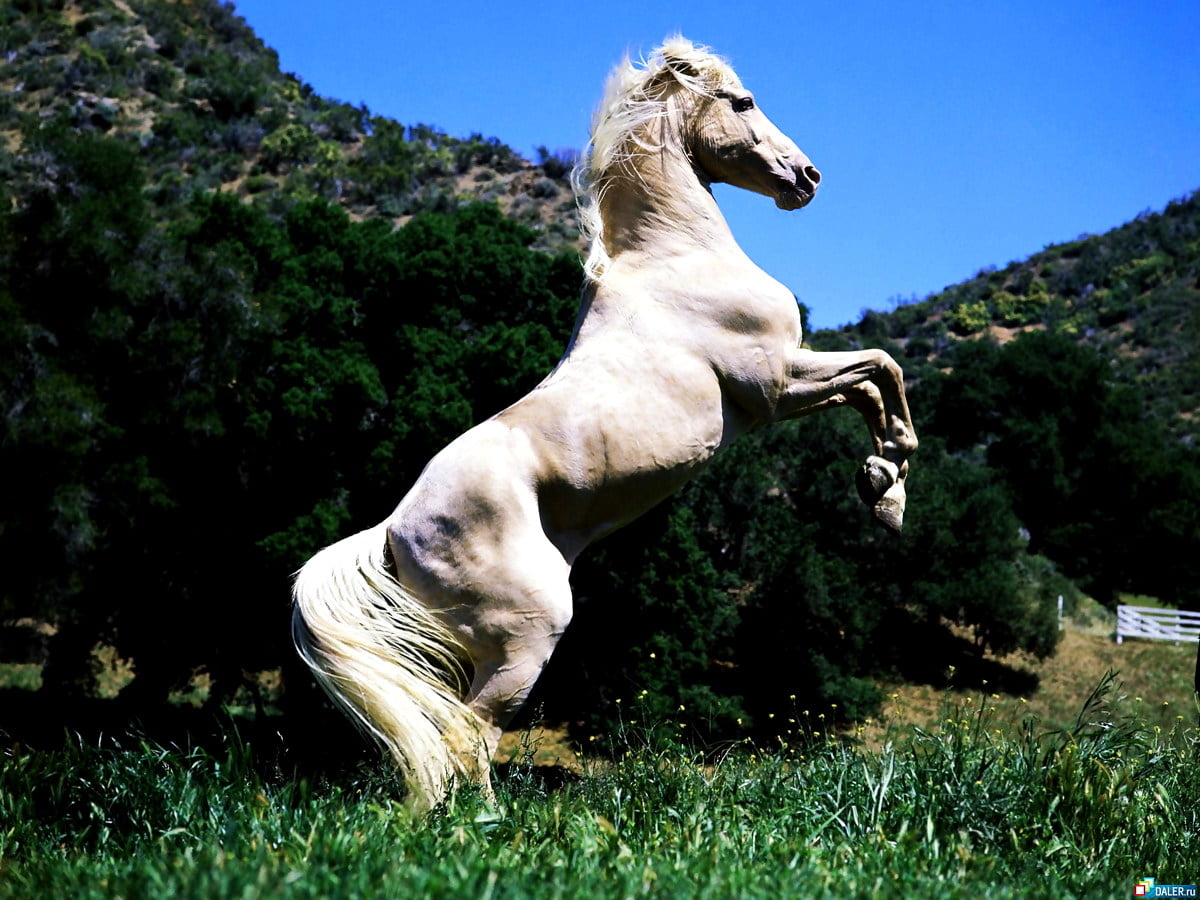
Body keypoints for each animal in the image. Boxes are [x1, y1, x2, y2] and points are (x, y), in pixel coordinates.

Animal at [292, 36, 917, 810]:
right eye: (743, 102)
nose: (807, 176)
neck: (677, 259)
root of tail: (392, 535)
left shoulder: (787, 384)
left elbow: (872, 384)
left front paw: (882, 489)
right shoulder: (776, 383)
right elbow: (881, 370)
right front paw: (889, 482)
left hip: (469, 648)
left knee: (451, 734)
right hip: (529, 634)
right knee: (471, 734)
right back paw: (488, 826)